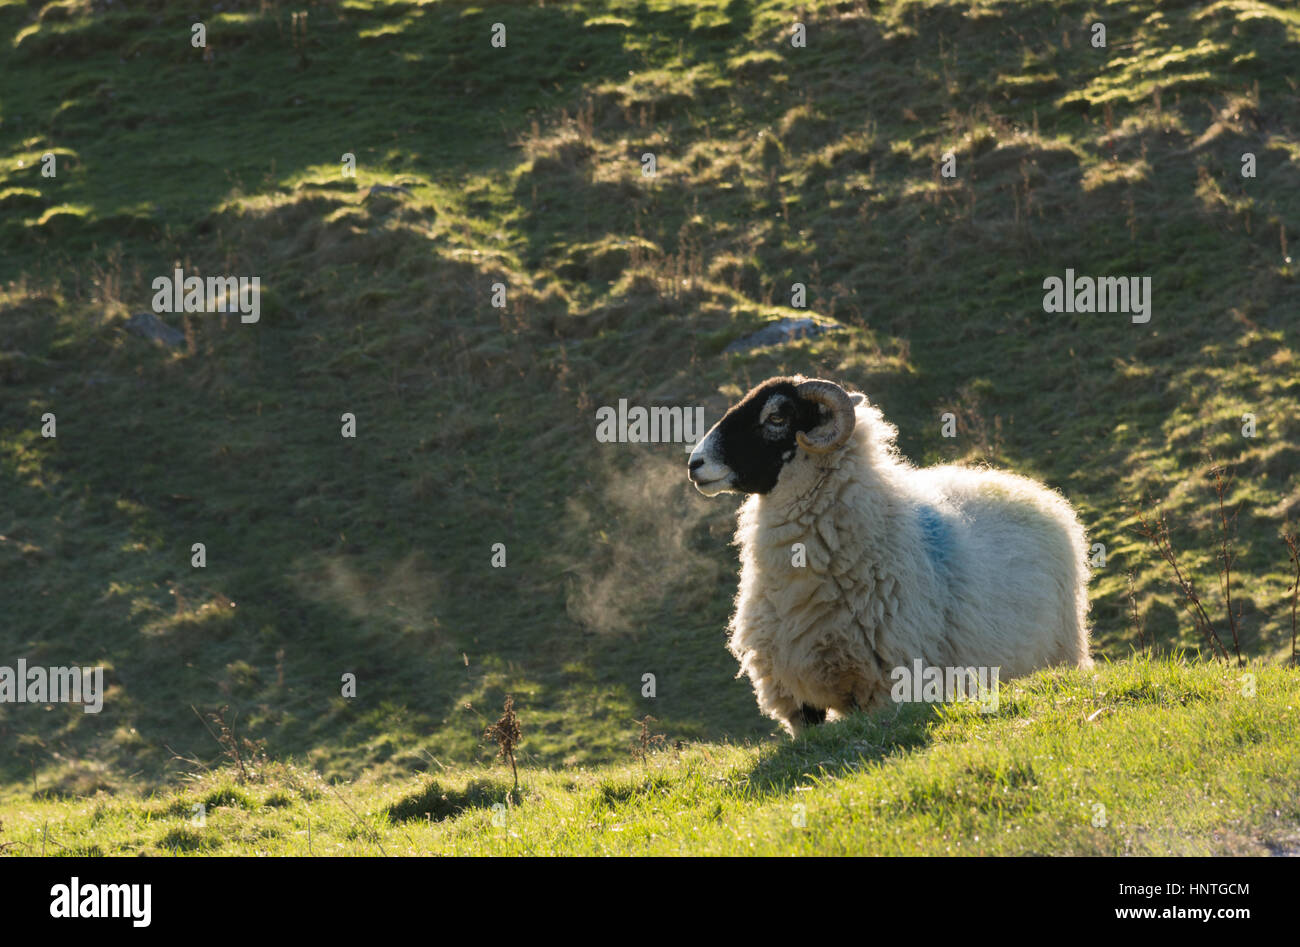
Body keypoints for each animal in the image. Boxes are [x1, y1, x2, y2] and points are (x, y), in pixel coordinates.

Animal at [687, 376, 1092, 736]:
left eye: (776, 418)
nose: (694, 463)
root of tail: (1030, 488)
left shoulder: (888, 686)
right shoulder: (794, 699)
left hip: (1061, 652)